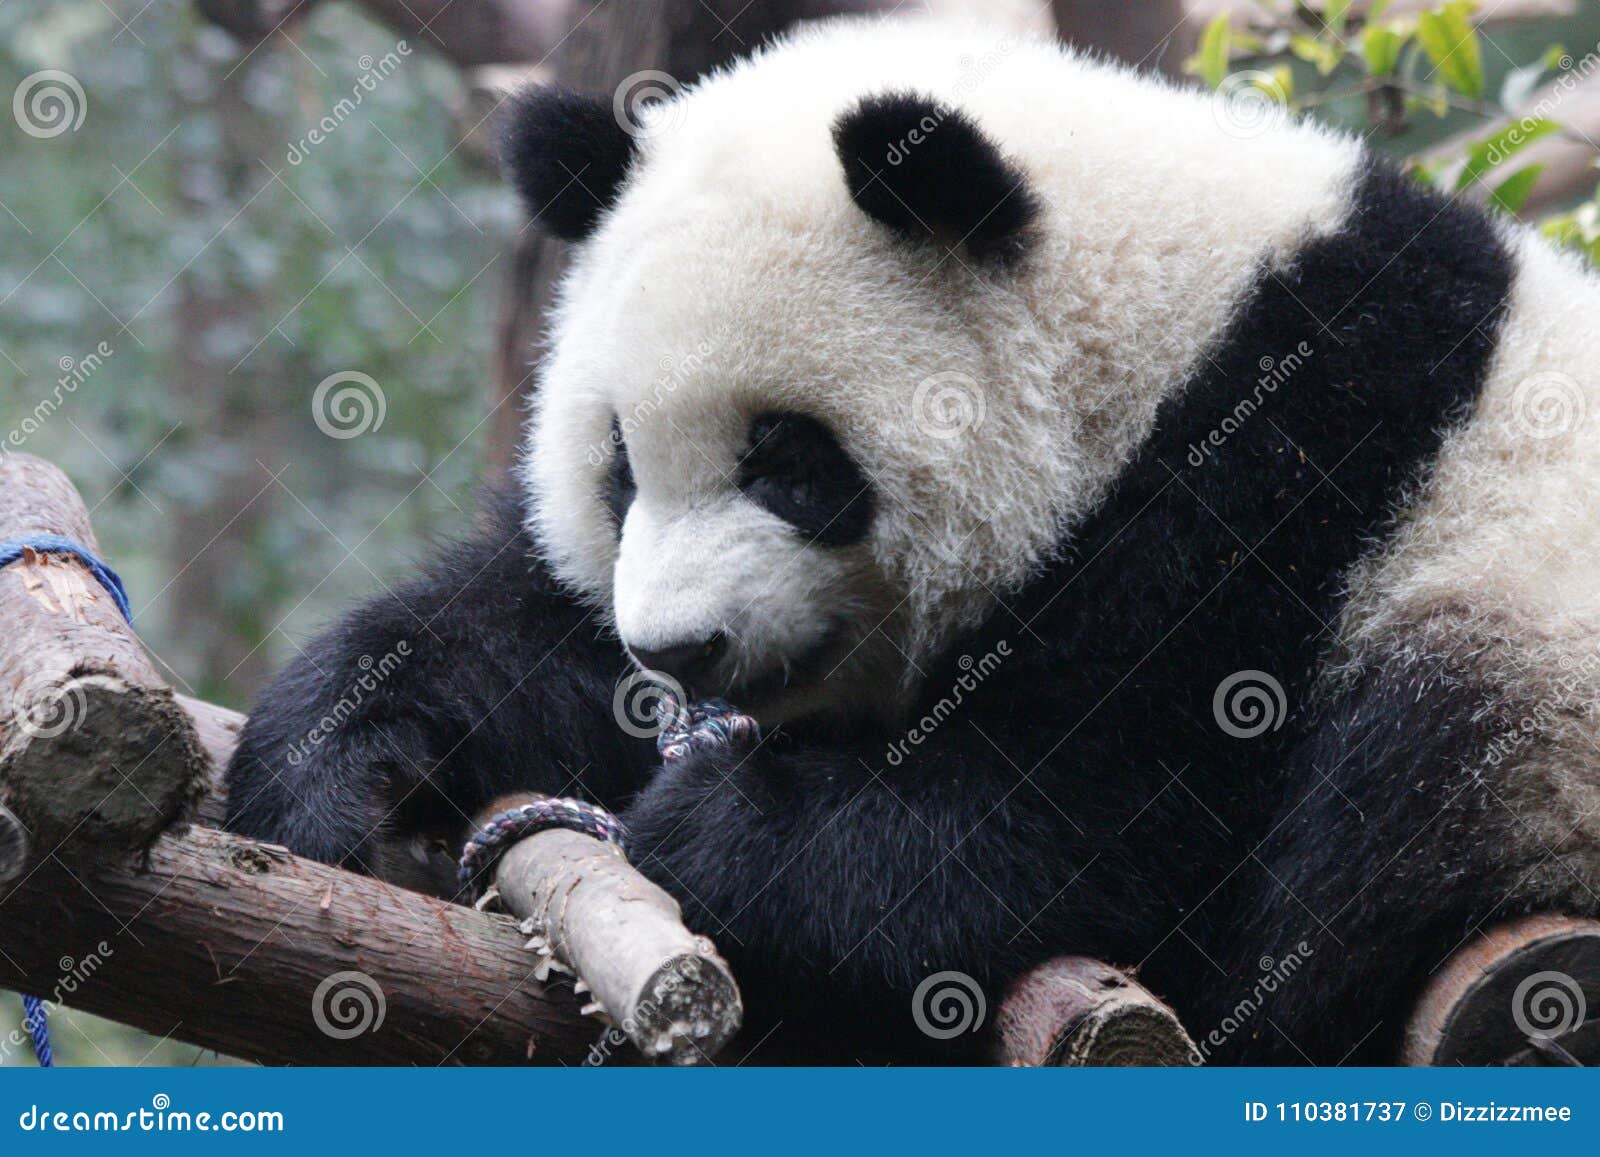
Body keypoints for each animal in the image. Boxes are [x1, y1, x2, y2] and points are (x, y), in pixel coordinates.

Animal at [226, 17, 1600, 1064]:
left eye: (789, 463)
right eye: (620, 466)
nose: (677, 650)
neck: (1171, 323)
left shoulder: (1281, 484)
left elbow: (1084, 820)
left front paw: (716, 828)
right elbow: (526, 628)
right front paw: (333, 757)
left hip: (1512, 683)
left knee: (1379, 823)